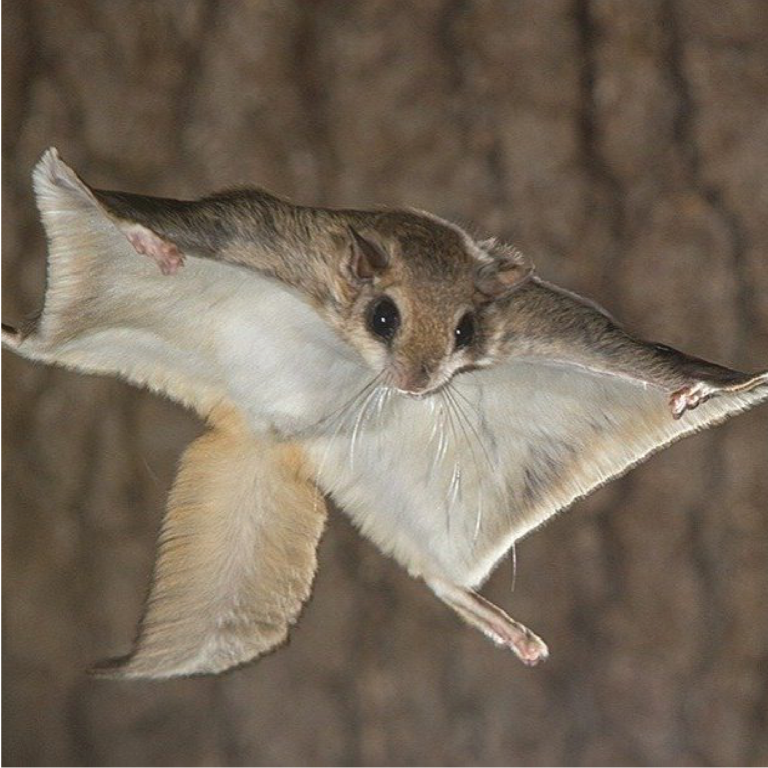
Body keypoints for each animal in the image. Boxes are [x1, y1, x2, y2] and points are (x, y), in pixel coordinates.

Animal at [2, 148, 766, 677]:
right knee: (42, 344)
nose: (417, 384)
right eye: (383, 316)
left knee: (436, 572)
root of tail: (271, 436)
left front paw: (692, 392)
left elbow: (637, 357)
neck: (351, 354)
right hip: (88, 334)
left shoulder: (542, 326)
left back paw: (505, 628)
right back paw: (17, 333)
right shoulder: (258, 233)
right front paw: (148, 243)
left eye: (463, 331)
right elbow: (174, 221)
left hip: (401, 504)